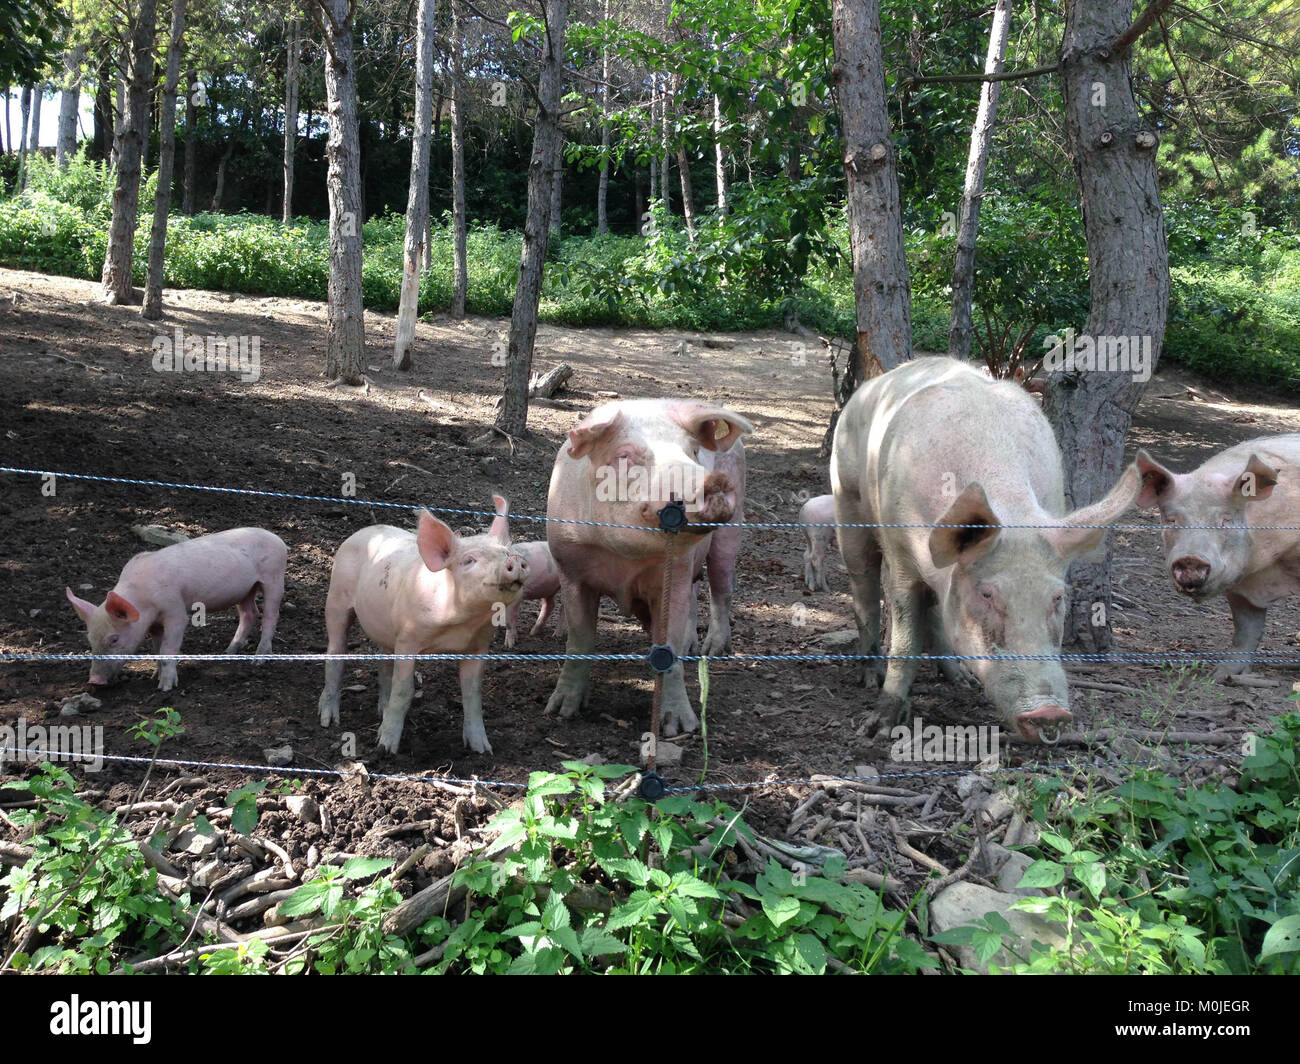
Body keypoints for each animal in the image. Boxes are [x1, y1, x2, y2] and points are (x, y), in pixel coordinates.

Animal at [65, 528, 287, 692]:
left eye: (114, 639)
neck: (143, 599)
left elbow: (168, 648)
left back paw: (258, 661)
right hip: (245, 591)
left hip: (274, 577)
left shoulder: (175, 612)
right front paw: (154, 677)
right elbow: (157, 649)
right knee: (249, 613)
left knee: (271, 615)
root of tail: (278, 539)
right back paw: (228, 652)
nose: (94, 680)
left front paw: (165, 688)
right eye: (90, 639)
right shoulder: (154, 624)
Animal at [317, 495, 526, 756]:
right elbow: (404, 689)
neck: (460, 624)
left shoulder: (479, 644)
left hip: (386, 630)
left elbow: (472, 693)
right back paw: (329, 720)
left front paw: (483, 750)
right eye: (469, 560)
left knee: (384, 664)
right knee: (335, 651)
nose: (514, 560)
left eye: (506, 551)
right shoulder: (408, 637)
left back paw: (381, 710)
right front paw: (385, 748)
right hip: (336, 597)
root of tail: (363, 531)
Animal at [545, 399, 754, 736]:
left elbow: (668, 645)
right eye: (624, 456)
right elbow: (579, 640)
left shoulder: (672, 575)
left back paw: (712, 650)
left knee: (721, 588)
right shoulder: (570, 567)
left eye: (693, 451)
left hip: (732, 530)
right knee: (695, 592)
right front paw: (560, 711)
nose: (713, 481)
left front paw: (680, 728)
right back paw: (694, 647)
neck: (624, 560)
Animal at [830, 357, 1141, 744]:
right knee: (864, 589)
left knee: (935, 608)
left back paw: (959, 681)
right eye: (988, 594)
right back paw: (869, 677)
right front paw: (879, 729)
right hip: (846, 498)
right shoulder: (900, 554)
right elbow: (904, 643)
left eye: (1058, 597)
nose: (1050, 713)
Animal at [1136, 435, 1300, 679]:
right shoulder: (1240, 585)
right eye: (1171, 520)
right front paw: (1222, 675)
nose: (1190, 559)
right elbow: (1246, 628)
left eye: (1225, 520)